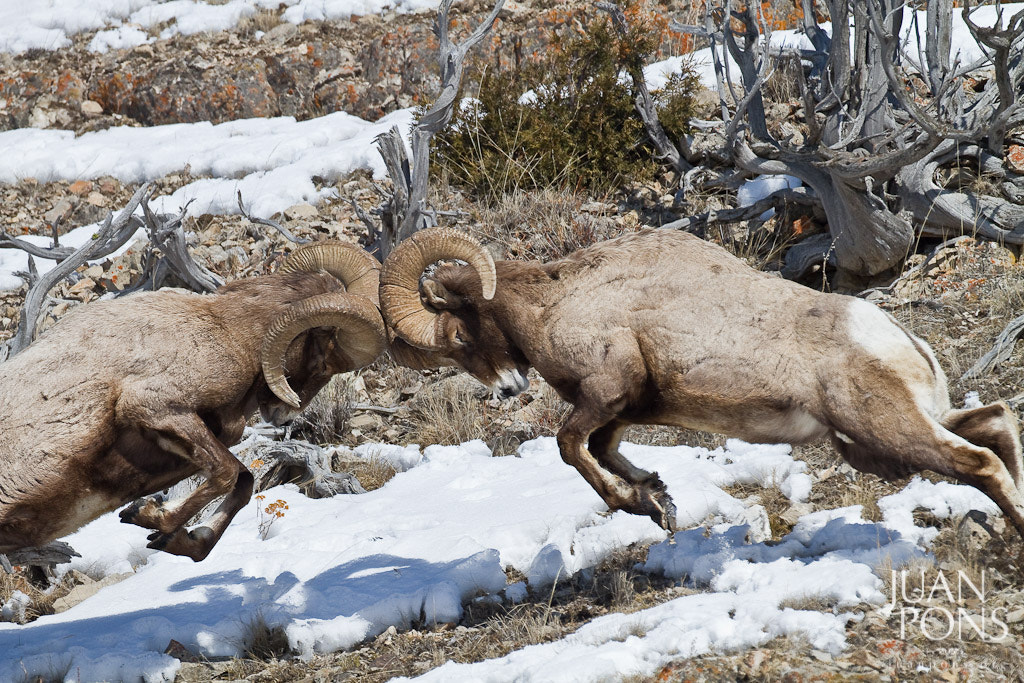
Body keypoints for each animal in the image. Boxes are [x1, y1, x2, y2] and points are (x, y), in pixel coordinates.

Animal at [0, 242, 385, 562]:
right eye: (323, 362)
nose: (284, 414)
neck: (229, 330)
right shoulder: (156, 410)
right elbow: (226, 473)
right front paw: (152, 517)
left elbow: (243, 482)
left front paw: (171, 537)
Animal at [379, 227, 1024, 538]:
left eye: (460, 338)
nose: (508, 391)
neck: (554, 301)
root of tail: (896, 339)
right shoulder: (621, 413)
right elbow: (604, 451)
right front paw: (657, 495)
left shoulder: (605, 393)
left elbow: (571, 448)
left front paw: (640, 504)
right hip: (881, 442)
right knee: (995, 423)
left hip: (886, 434)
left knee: (979, 462)